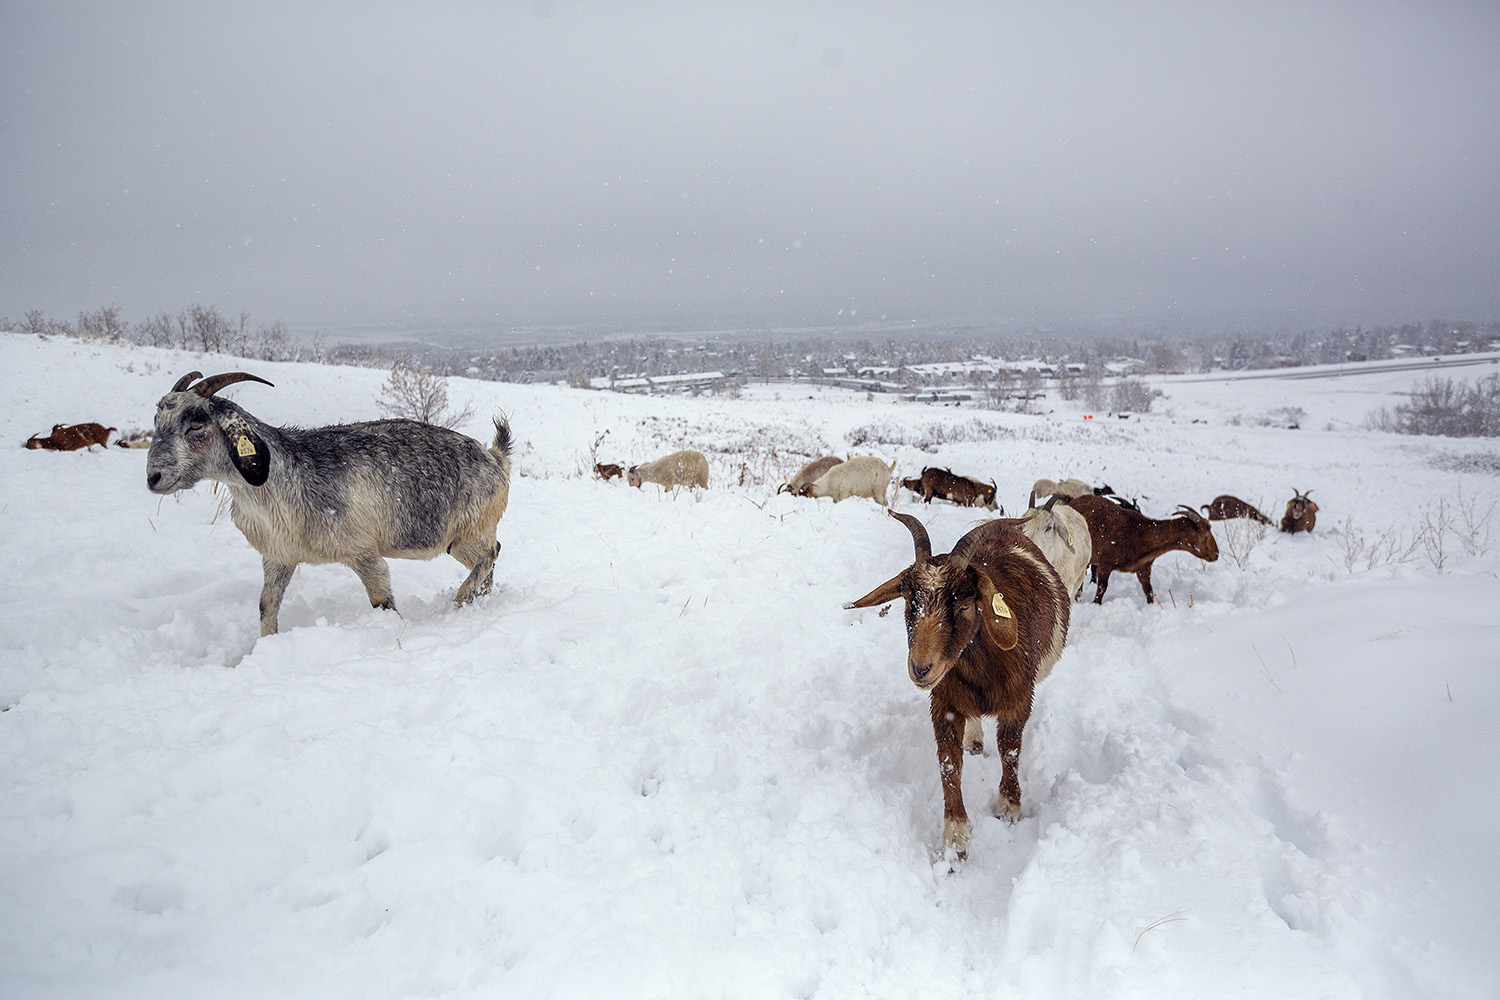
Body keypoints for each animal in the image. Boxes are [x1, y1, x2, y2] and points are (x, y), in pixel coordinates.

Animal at [145, 371, 512, 636]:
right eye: (157, 420)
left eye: (196, 424)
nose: (153, 477)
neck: (279, 483)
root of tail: (495, 457)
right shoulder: (278, 557)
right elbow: (267, 606)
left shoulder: (363, 552)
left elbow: (382, 601)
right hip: (458, 540)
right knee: (490, 557)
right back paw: (479, 599)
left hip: (474, 526)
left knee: (489, 556)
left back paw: (460, 601)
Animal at [847, 511, 1070, 861]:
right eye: (909, 599)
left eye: (965, 603)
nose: (921, 668)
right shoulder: (945, 702)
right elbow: (949, 764)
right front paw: (956, 841)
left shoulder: (1019, 698)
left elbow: (1010, 749)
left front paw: (1009, 806)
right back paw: (974, 739)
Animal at [1060, 494, 1218, 605]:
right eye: (1204, 535)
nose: (1216, 554)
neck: (1140, 533)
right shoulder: (1106, 563)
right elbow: (1102, 588)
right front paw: (1095, 604)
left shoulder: (1143, 567)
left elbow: (1148, 590)